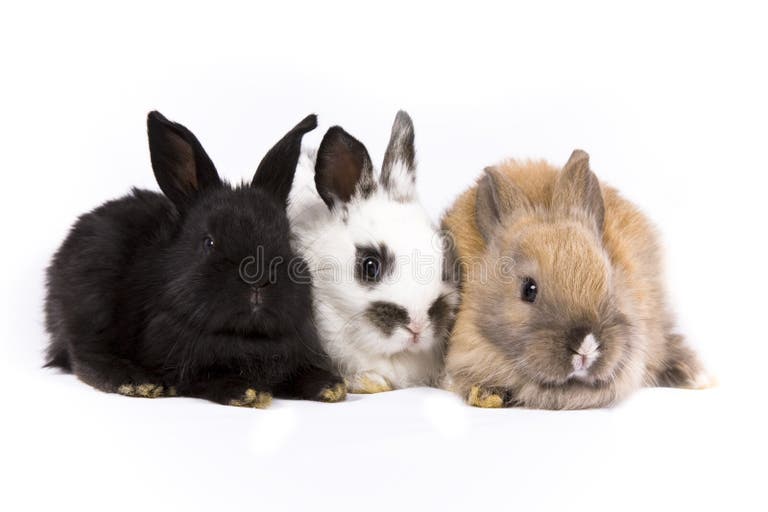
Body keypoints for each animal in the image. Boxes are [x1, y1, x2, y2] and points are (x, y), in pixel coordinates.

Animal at [44, 111, 346, 408]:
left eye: (287, 239)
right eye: (208, 242)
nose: (257, 278)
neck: (245, 336)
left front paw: (332, 386)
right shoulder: (178, 362)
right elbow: (203, 379)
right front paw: (247, 391)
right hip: (91, 302)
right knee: (84, 356)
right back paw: (137, 382)